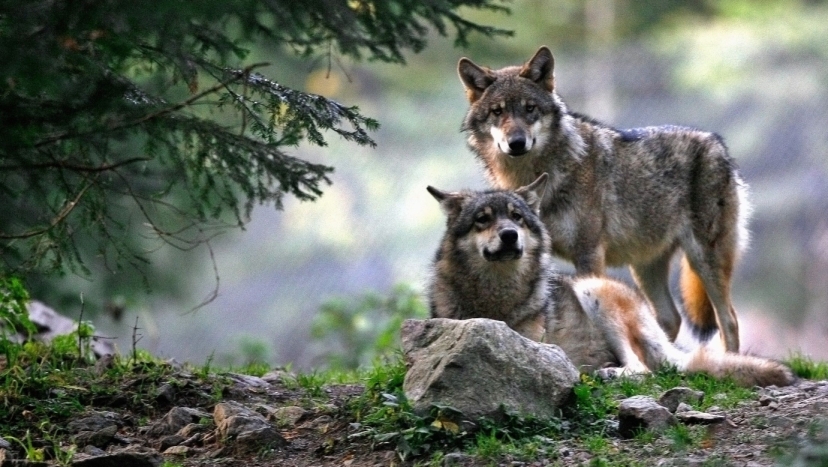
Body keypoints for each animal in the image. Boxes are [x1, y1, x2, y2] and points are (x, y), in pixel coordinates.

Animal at [427, 174, 794, 387]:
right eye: (482, 219)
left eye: (517, 217)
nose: (509, 235)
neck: (495, 299)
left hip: (594, 290)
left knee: (643, 370)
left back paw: (607, 373)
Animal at [457, 46, 751, 352]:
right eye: (497, 111)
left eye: (530, 108)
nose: (516, 143)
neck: (535, 174)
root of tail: (716, 143)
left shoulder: (589, 251)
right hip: (645, 266)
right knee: (669, 318)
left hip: (704, 259)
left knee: (728, 320)